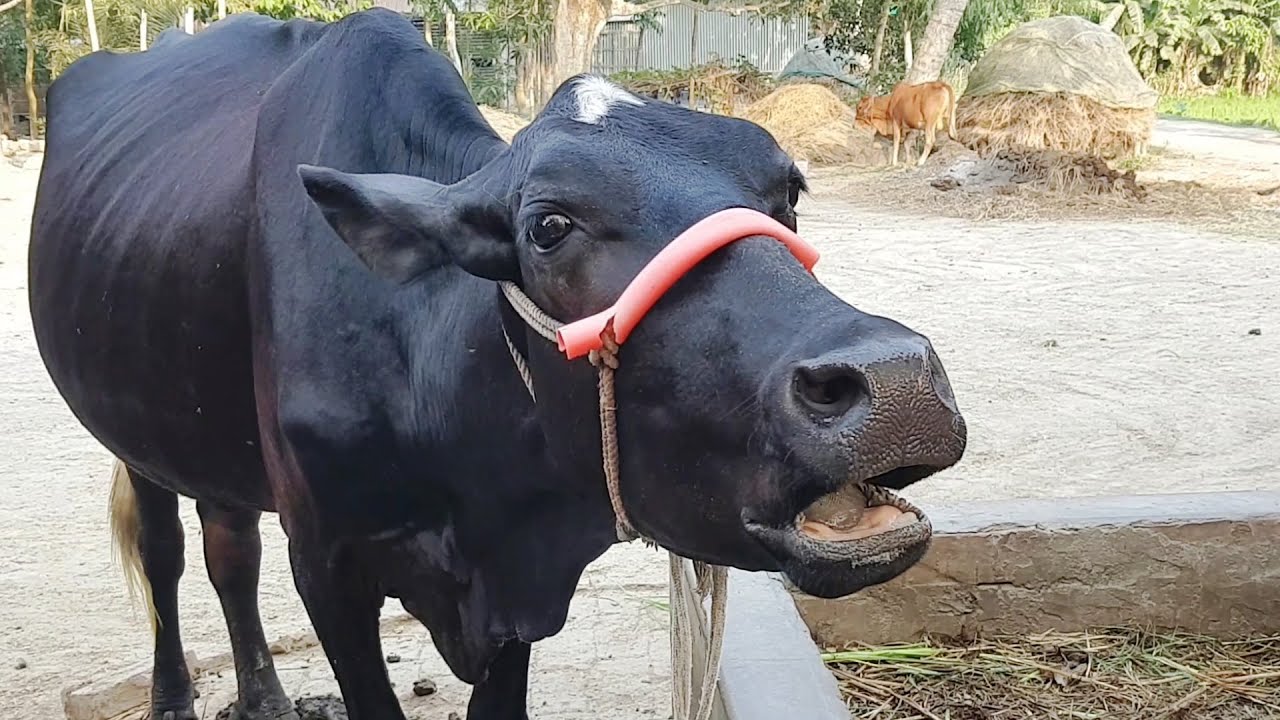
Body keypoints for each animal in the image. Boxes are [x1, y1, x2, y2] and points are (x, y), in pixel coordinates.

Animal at [28, 9, 967, 720]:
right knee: (165, 552)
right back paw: (174, 697)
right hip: (132, 435)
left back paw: (264, 700)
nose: (893, 379)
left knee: (230, 548)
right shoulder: (328, 563)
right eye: (547, 226)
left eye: (789, 193)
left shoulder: (519, 594)